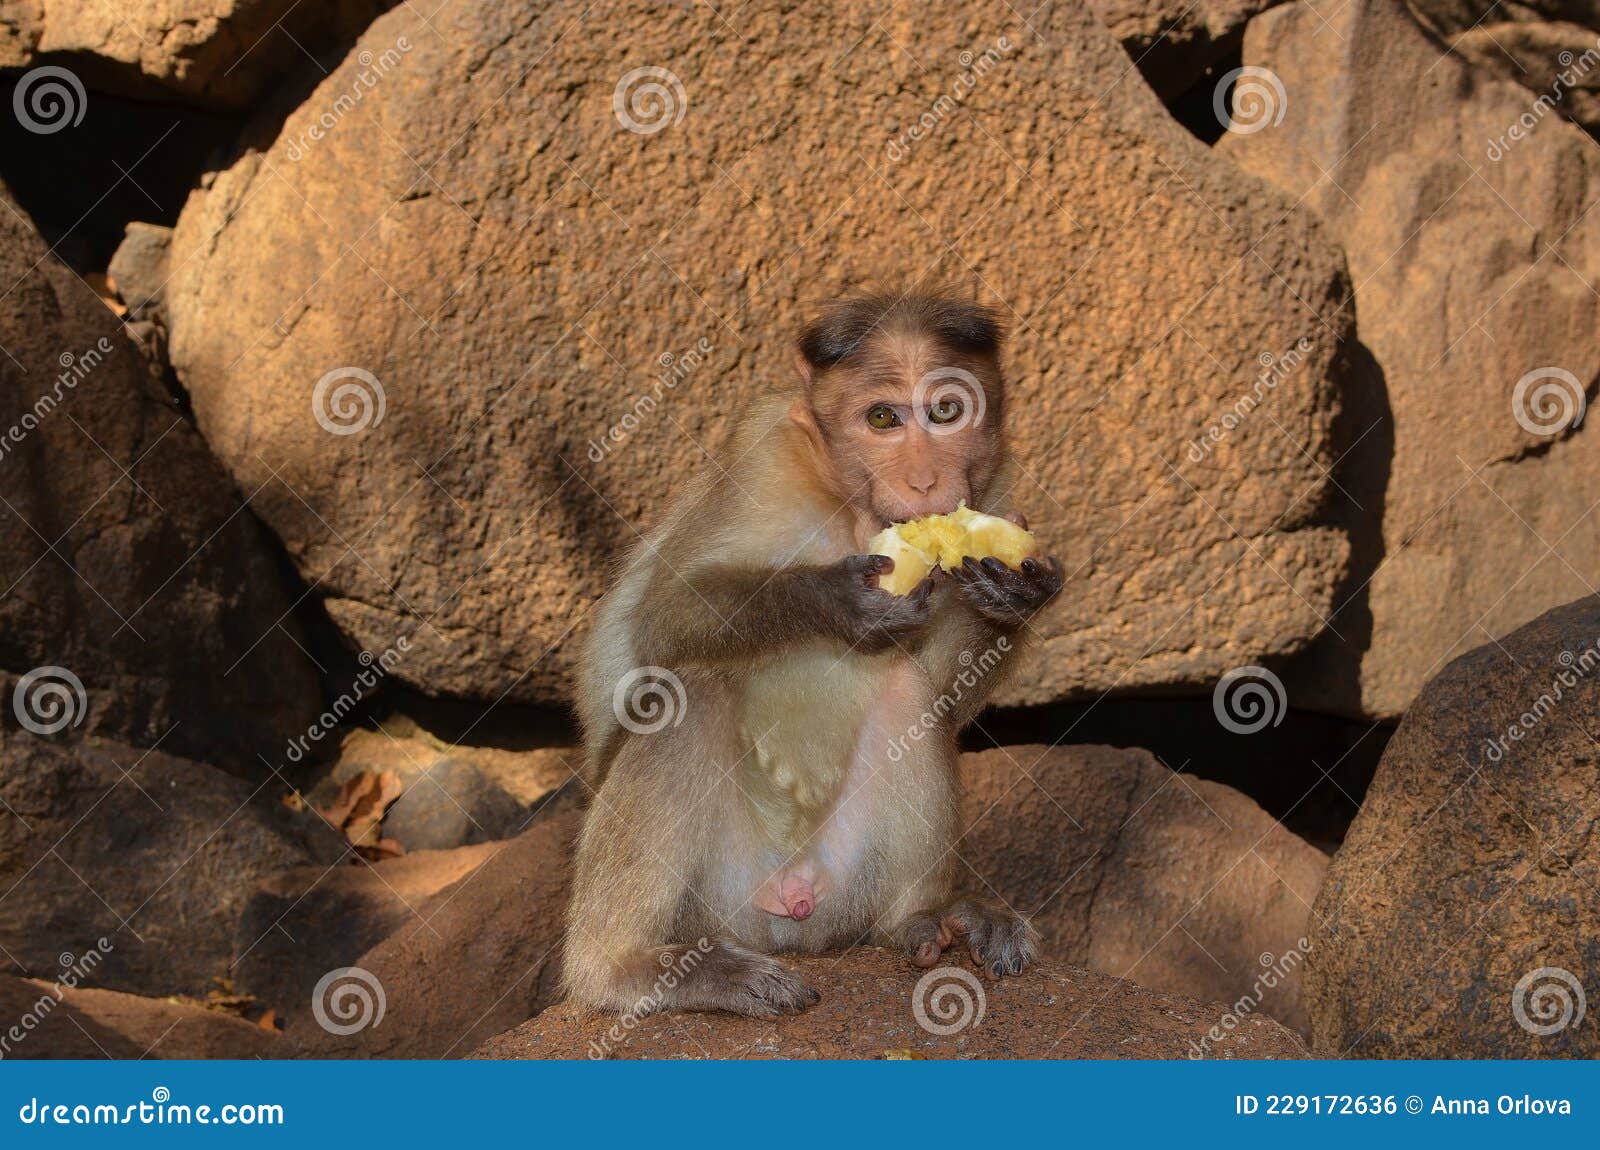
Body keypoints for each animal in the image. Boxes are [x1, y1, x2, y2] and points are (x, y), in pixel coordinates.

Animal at [565, 290, 1063, 1017]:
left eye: (947, 411)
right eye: (882, 418)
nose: (925, 480)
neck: (848, 511)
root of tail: (792, 904)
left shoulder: (992, 488)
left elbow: (941, 687)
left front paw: (1014, 592)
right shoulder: (761, 450)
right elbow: (664, 618)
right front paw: (837, 601)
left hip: (845, 884)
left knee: (906, 694)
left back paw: (922, 921)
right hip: (722, 899)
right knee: (689, 693)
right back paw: (623, 968)